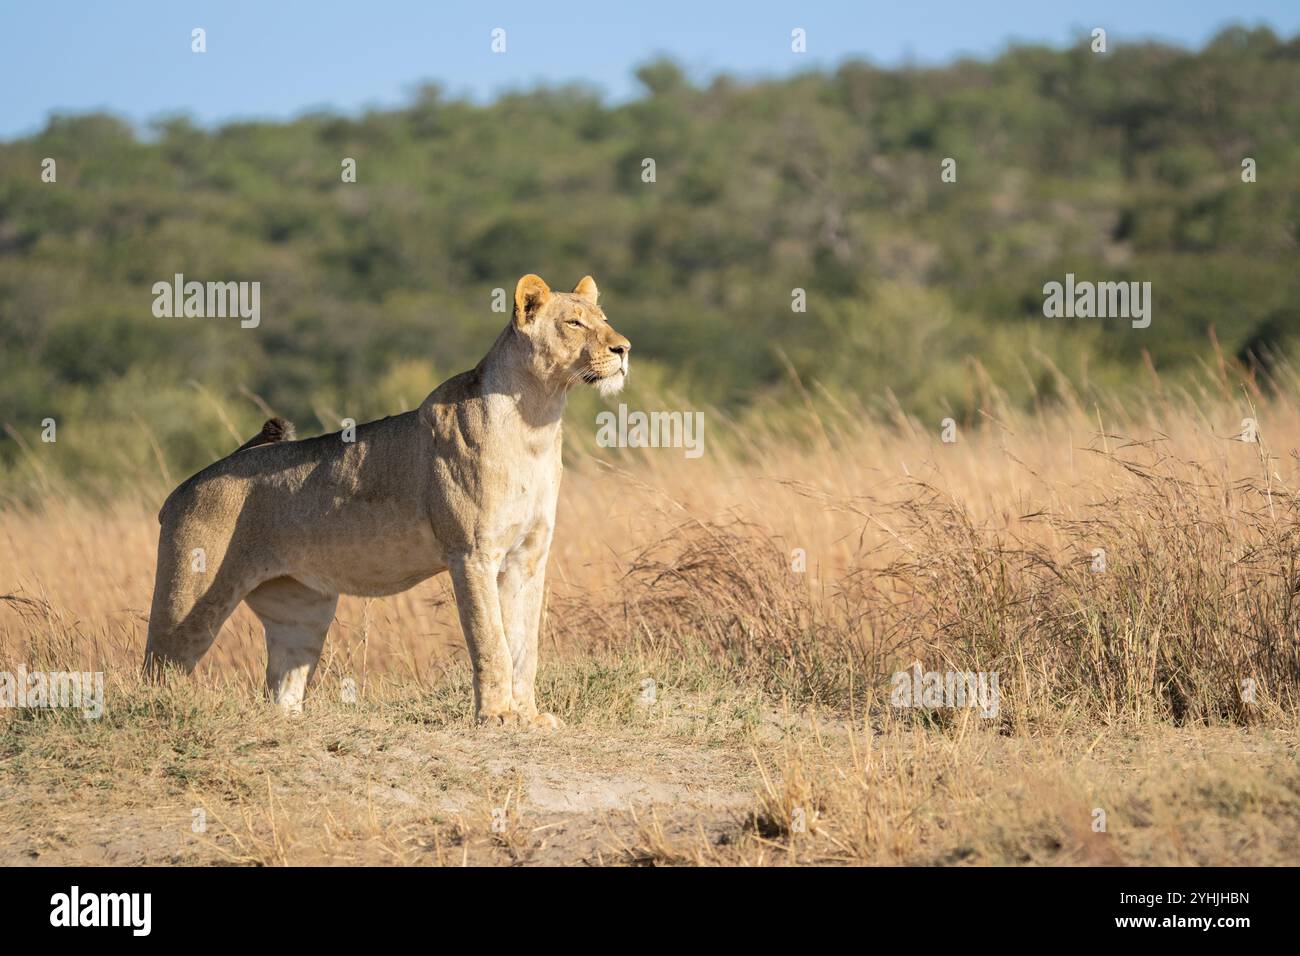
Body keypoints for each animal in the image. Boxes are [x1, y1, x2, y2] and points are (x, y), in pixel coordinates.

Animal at [143, 274, 630, 727]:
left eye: (604, 318)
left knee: (281, 688)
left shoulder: (528, 557)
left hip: (302, 610)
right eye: (574, 322)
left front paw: (528, 716)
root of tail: (182, 488)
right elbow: (491, 640)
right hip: (190, 600)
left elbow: (524, 644)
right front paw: (497, 717)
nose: (624, 349)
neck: (537, 418)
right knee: (157, 670)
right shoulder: (471, 554)